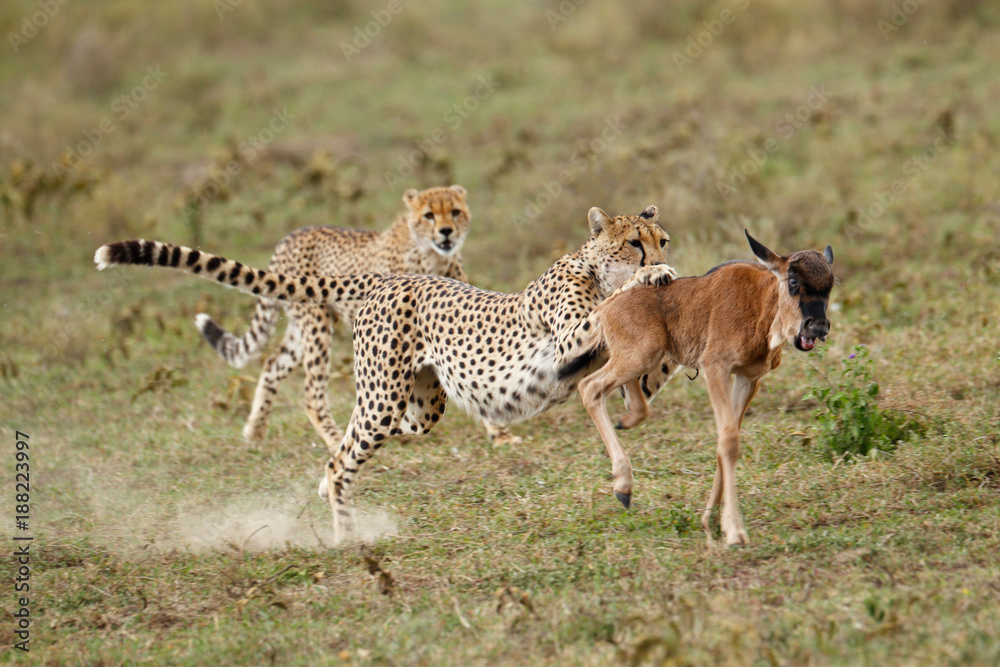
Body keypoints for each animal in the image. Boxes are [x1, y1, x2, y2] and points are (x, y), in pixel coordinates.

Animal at [194, 185, 520, 452]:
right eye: (429, 215)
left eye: (455, 212)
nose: (446, 232)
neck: (433, 257)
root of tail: (291, 235)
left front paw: (499, 434)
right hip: (316, 326)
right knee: (312, 392)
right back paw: (332, 438)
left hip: (302, 327)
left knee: (273, 365)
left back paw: (255, 430)